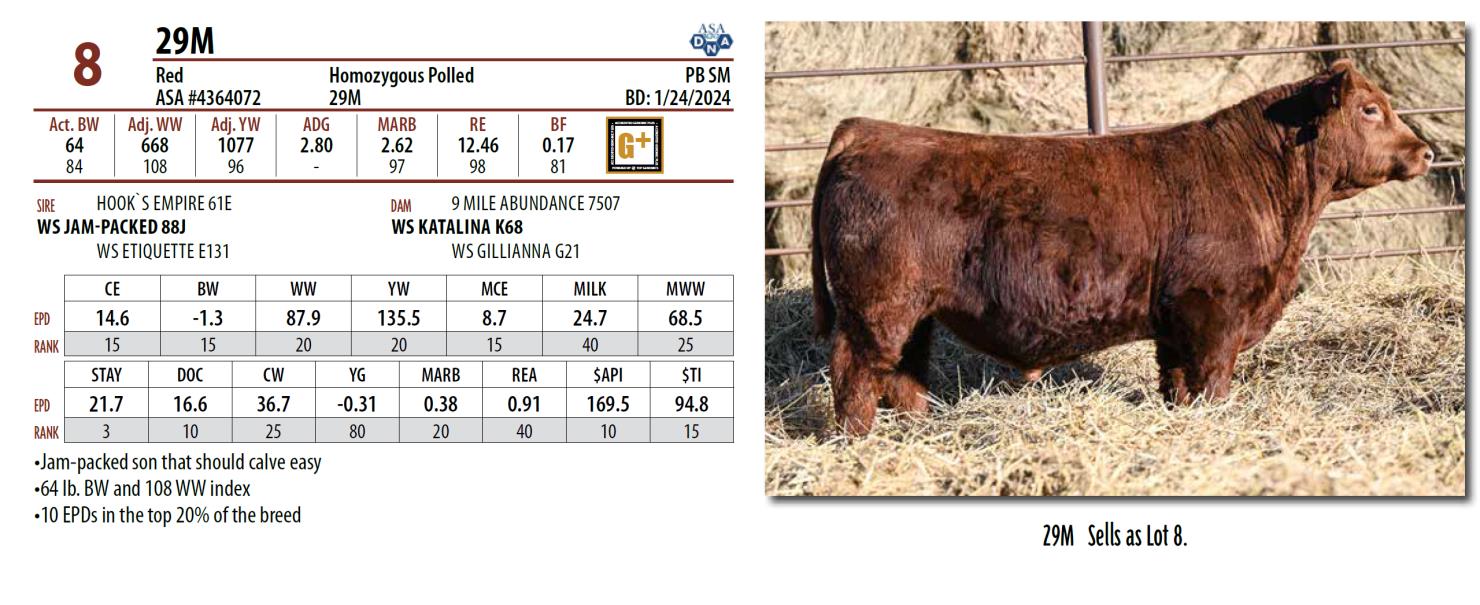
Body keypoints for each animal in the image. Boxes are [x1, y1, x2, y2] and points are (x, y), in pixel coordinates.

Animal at [810, 59, 1433, 436]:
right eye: (1370, 109)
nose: (1425, 151)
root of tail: (867, 129)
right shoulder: (1216, 312)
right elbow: (1212, 381)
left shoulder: (1177, 321)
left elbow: (1177, 381)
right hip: (878, 306)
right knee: (855, 371)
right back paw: (858, 441)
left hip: (916, 312)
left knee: (903, 375)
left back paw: (920, 433)